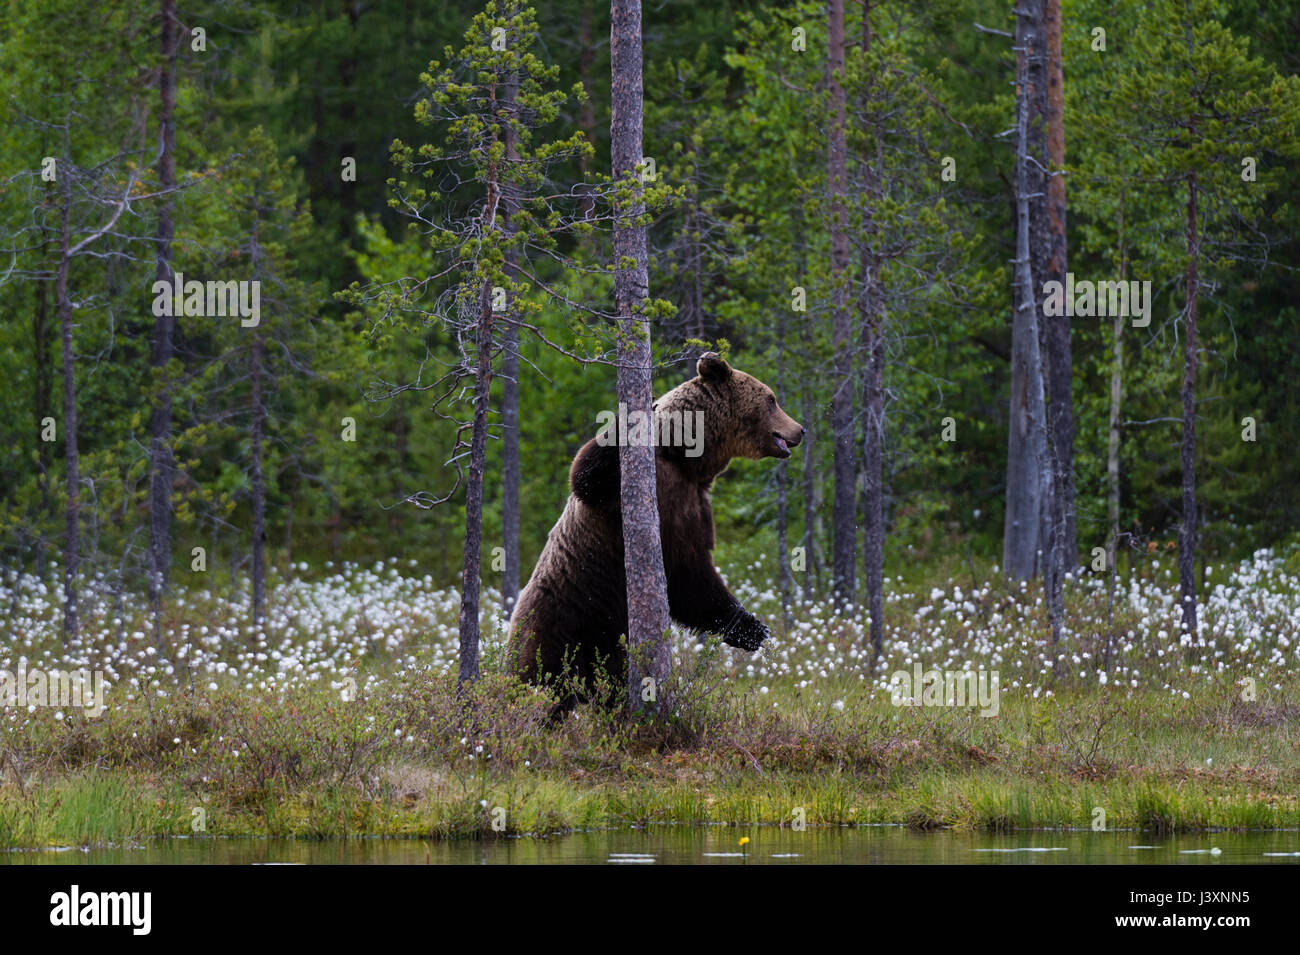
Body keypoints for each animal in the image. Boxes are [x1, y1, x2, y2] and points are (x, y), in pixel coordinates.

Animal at [507, 352, 804, 708]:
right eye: (771, 399)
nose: (800, 430)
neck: (687, 461)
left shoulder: (691, 509)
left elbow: (694, 581)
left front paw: (752, 629)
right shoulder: (624, 490)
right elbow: (584, 474)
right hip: (563, 620)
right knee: (545, 675)